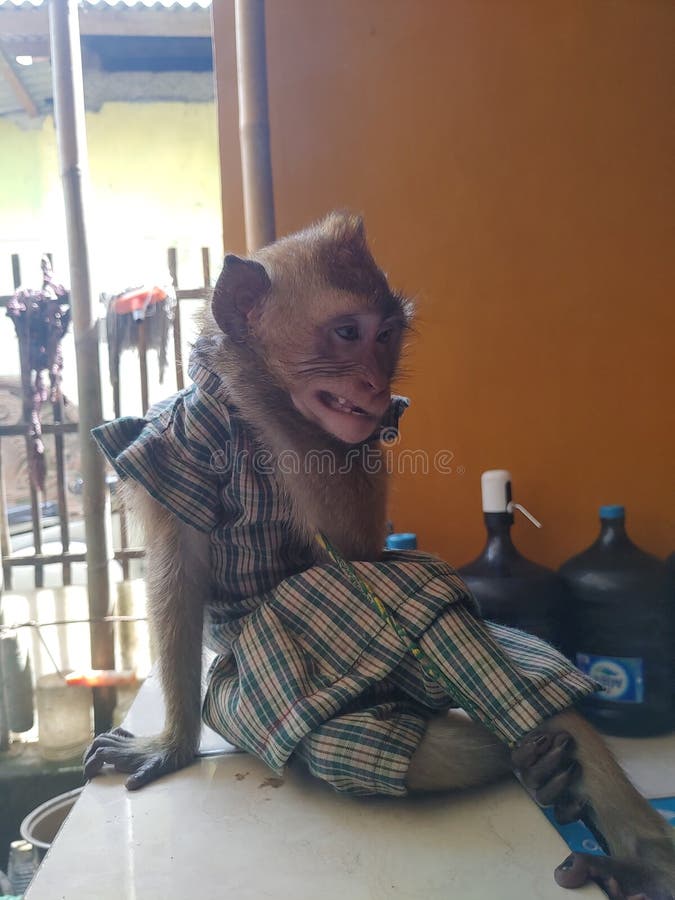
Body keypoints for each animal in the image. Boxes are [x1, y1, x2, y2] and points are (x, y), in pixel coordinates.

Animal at [84, 212, 675, 899]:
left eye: (386, 337)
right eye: (348, 334)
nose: (374, 385)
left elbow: (357, 547)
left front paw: (249, 378)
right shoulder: (173, 448)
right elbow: (180, 576)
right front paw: (174, 746)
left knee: (417, 602)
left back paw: (630, 845)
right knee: (347, 735)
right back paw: (534, 768)